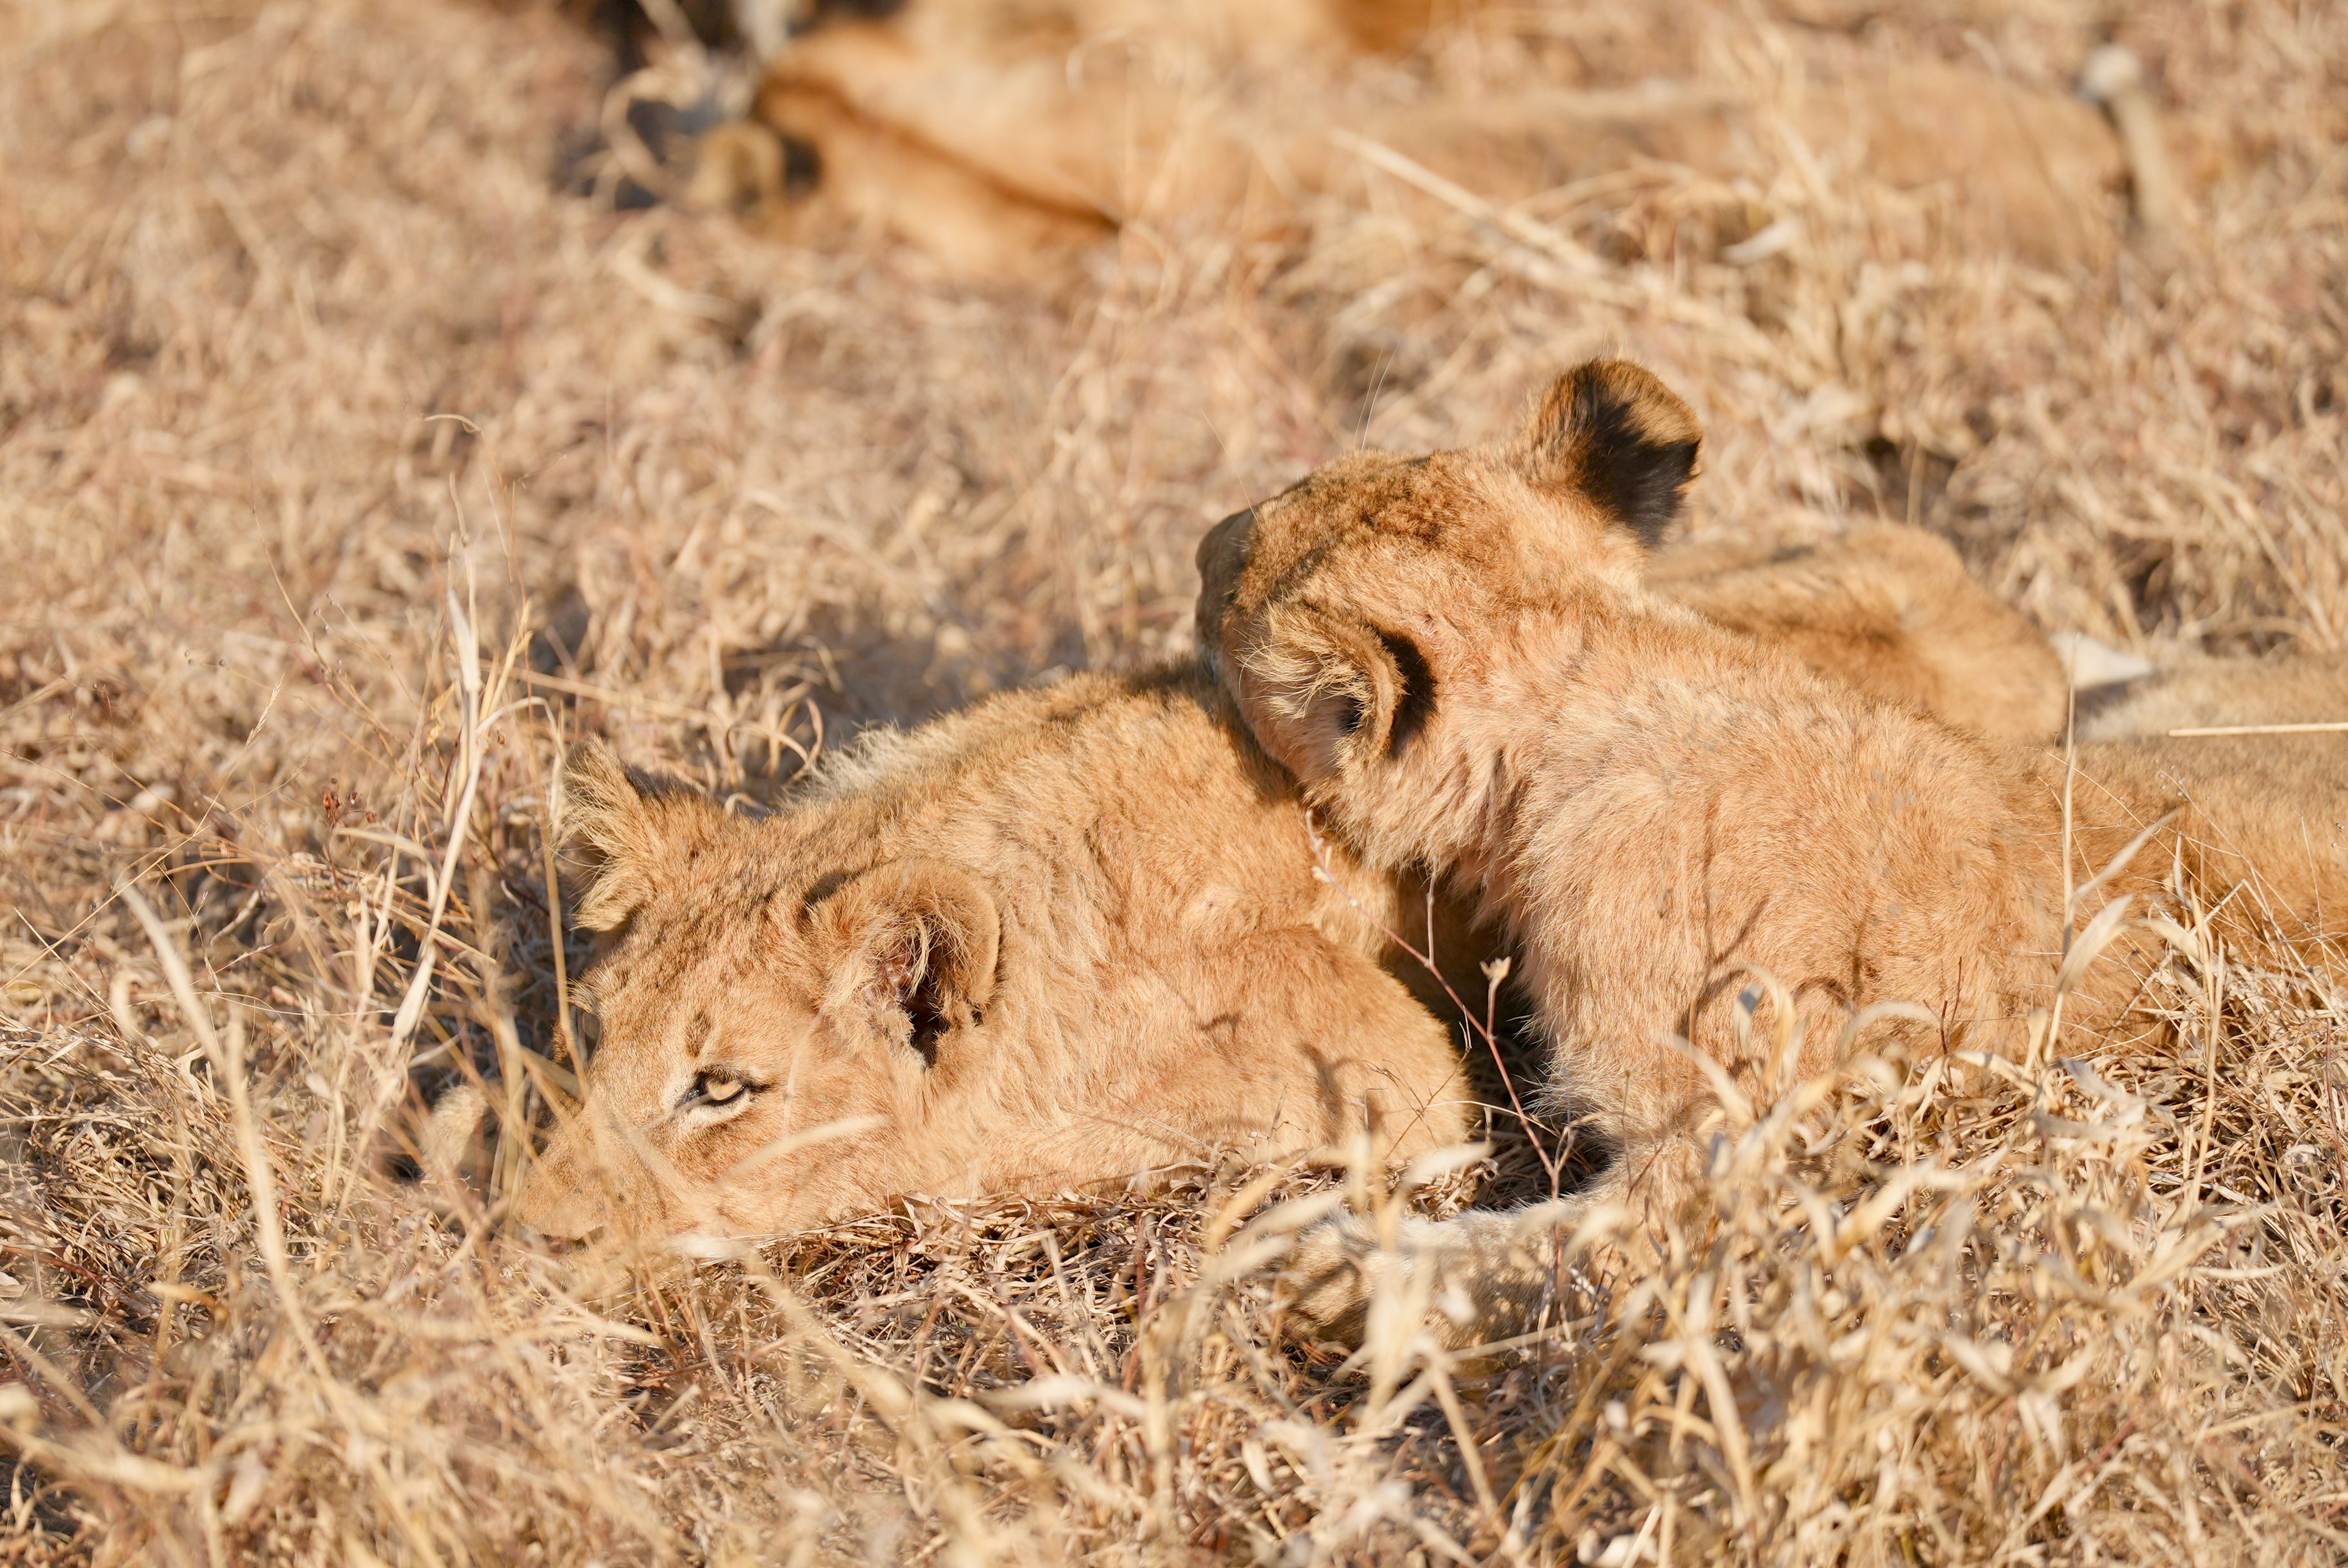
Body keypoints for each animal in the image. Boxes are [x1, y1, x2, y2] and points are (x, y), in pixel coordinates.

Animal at [1195, 358, 2345, 1342]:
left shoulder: (1749, 1133)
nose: (1202, 543)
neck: (1613, 674)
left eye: (1234, 585)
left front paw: (1327, 1267)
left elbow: (1574, 1247)